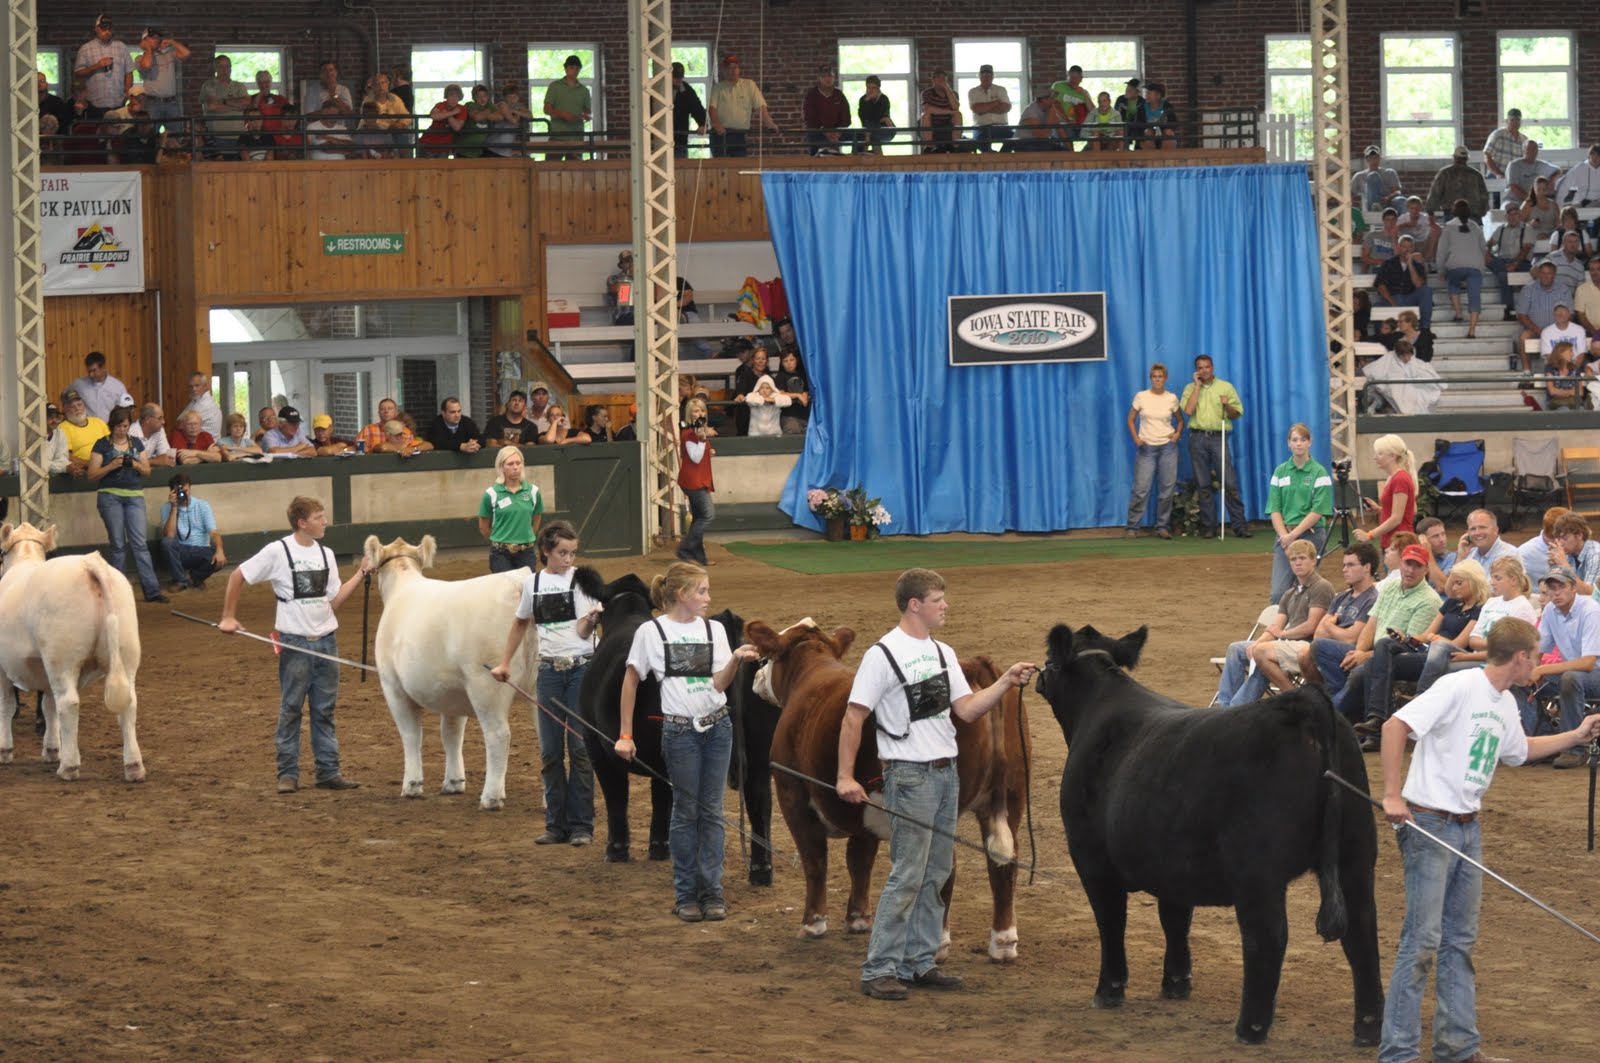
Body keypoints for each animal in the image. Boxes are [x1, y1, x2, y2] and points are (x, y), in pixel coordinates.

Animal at [0, 522, 143, 782]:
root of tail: (89, 562)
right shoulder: (42, 671)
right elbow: (48, 707)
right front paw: (51, 749)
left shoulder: (4, 667)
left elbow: (7, 705)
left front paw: (5, 751)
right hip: (126, 652)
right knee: (129, 704)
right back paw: (134, 766)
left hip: (62, 658)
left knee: (68, 702)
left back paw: (68, 766)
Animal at [365, 534, 537, 810]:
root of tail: (517, 581)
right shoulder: (453, 693)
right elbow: (452, 734)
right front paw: (454, 782)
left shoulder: (393, 686)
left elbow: (411, 734)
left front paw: (412, 785)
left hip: (486, 685)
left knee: (498, 734)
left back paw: (491, 797)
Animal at [1034, 622, 1383, 1047]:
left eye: (1049, 660)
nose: (1037, 676)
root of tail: (1302, 702)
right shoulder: (1169, 864)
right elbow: (1175, 919)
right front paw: (1176, 983)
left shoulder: (1091, 859)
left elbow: (1111, 921)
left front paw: (1109, 990)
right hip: (1356, 855)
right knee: (1362, 932)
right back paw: (1368, 1029)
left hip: (1257, 868)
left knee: (1267, 935)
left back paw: (1250, 1028)